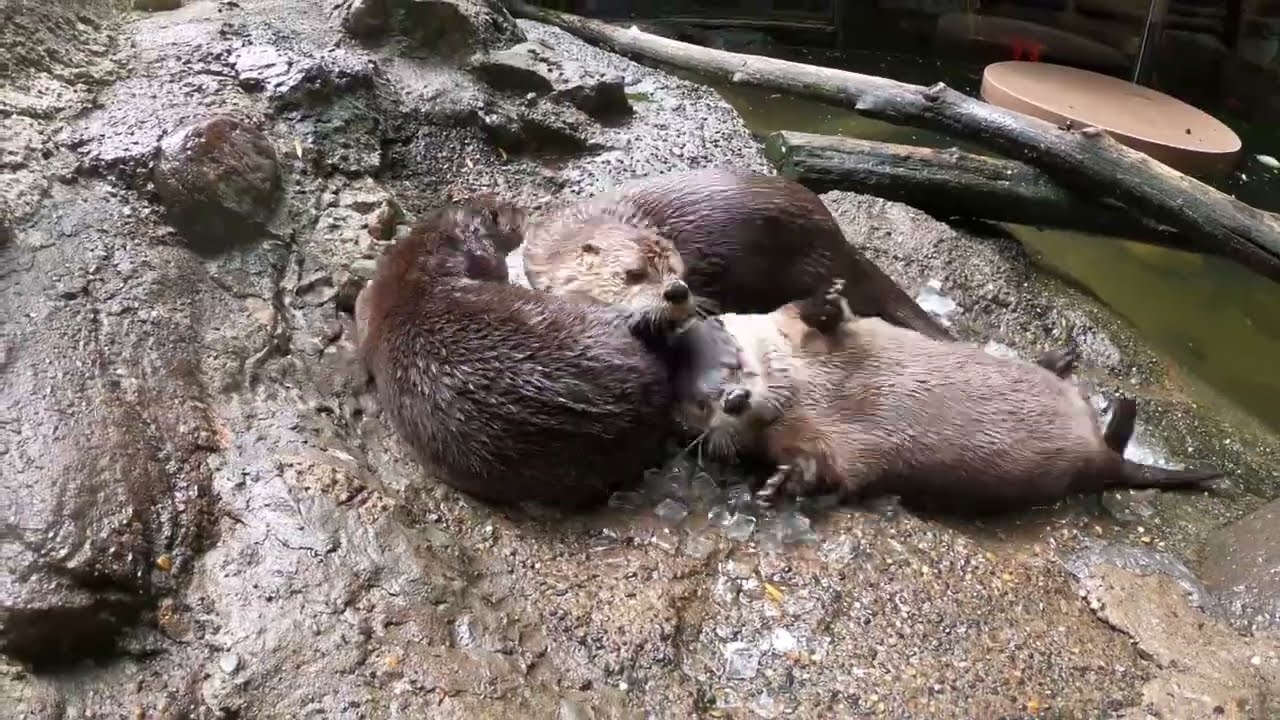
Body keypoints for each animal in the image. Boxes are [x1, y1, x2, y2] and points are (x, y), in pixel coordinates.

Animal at [677, 283, 1220, 514]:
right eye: (700, 406)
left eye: (731, 364)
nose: (733, 400)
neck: (808, 388)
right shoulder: (827, 448)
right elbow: (824, 471)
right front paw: (777, 485)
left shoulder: (806, 330)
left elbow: (817, 312)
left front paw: (826, 302)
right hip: (1082, 466)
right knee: (1112, 456)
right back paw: (1121, 409)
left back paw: (1067, 362)